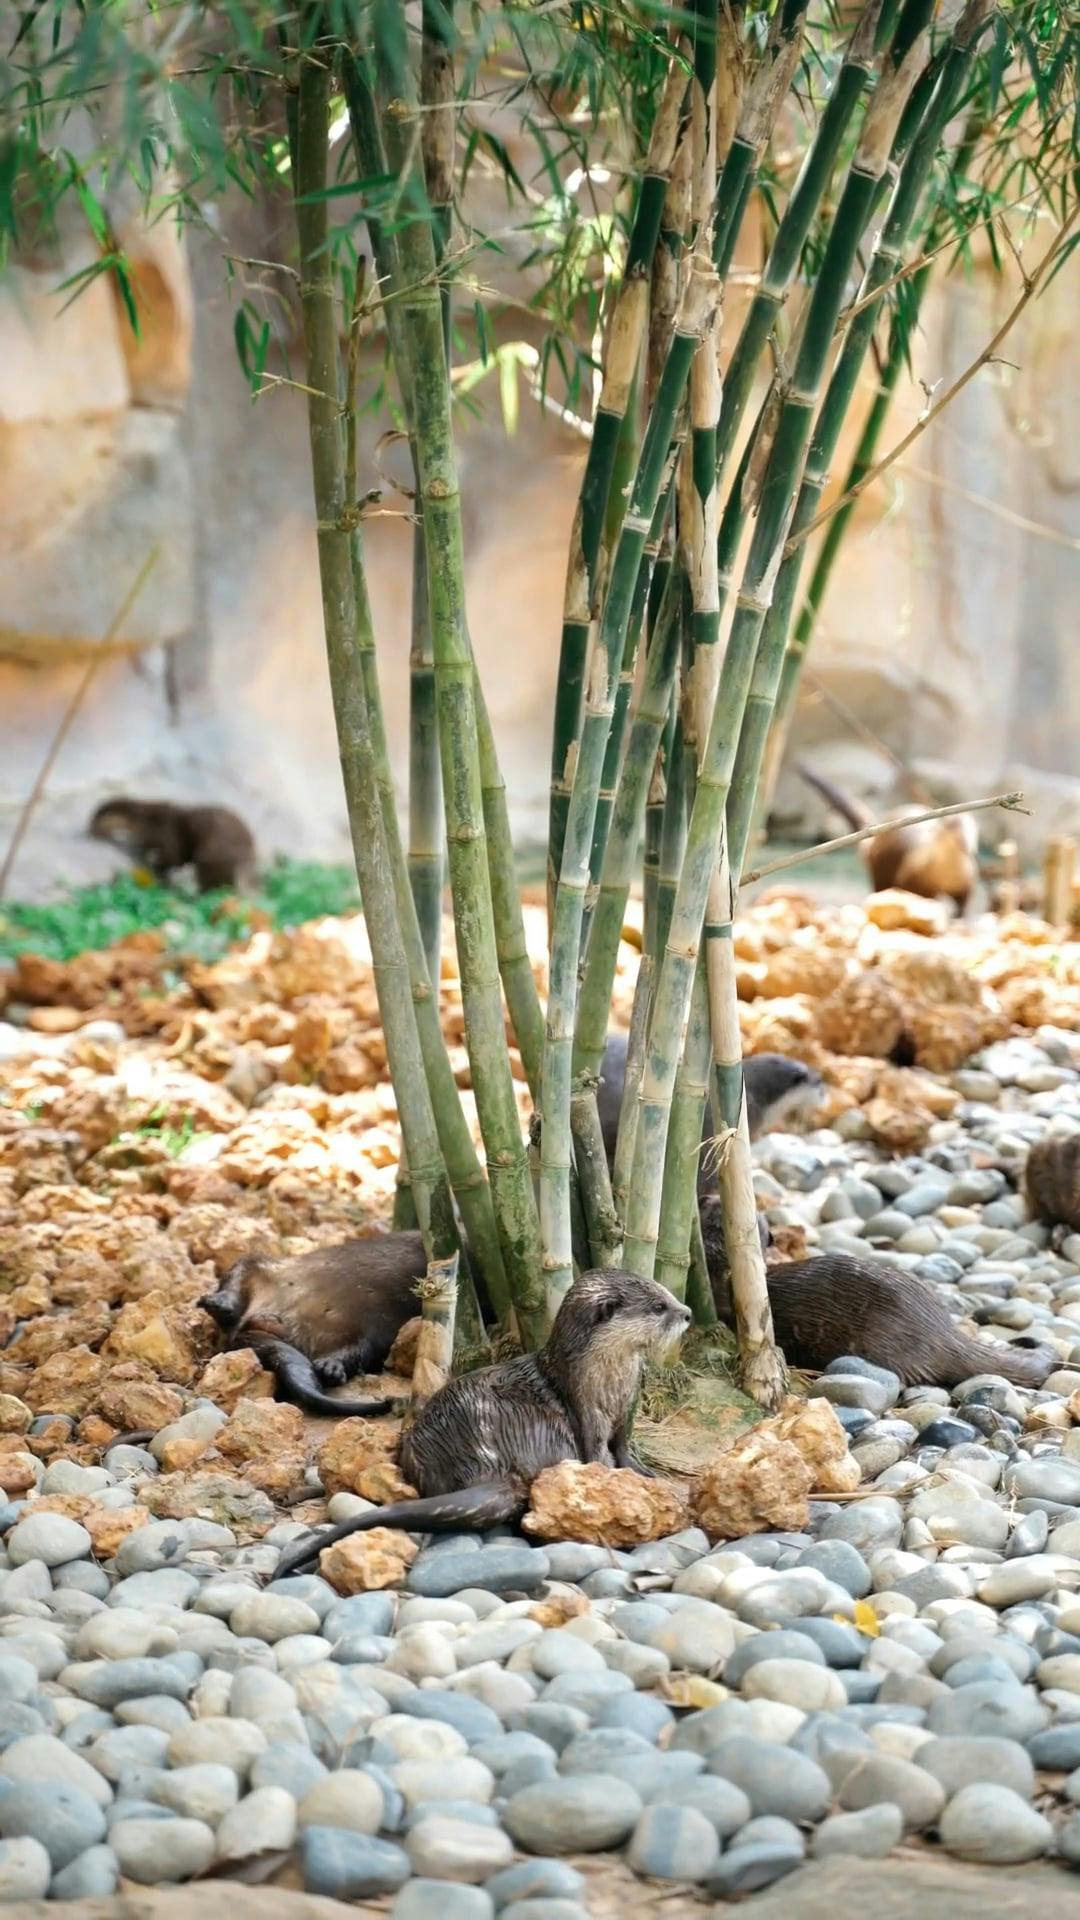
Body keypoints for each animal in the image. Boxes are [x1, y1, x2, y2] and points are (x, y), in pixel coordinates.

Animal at [197, 1235, 435, 1417]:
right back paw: (219, 1303)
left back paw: (330, 1368)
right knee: (243, 1267)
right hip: (268, 1265)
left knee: (359, 1349)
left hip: (375, 1331)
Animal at [275, 1267, 691, 1577]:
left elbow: (623, 1445)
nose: (687, 1312)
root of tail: (477, 1460)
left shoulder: (625, 1411)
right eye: (659, 1307)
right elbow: (597, 1452)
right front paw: (616, 1480)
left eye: (667, 1293)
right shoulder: (587, 1411)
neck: (608, 1383)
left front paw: (644, 1473)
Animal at [796, 766, 977, 914]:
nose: (967, 842)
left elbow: (963, 906)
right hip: (880, 872)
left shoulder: (967, 885)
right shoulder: (913, 879)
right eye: (953, 825)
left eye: (974, 830)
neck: (946, 876)